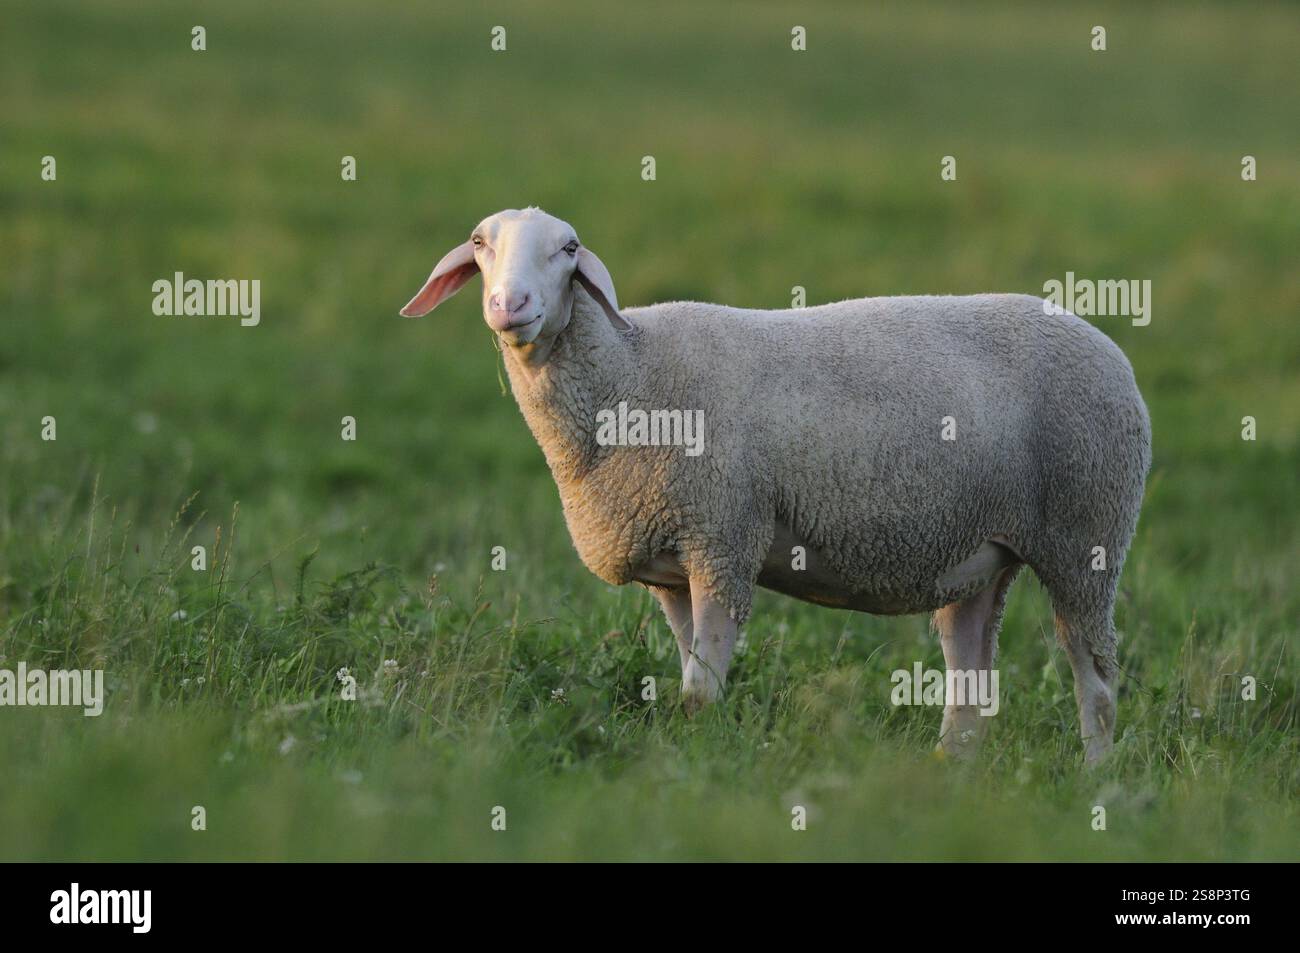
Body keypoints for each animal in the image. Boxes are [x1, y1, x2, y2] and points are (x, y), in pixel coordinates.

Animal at [400, 207, 1151, 763]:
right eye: (479, 244)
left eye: (569, 248)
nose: (512, 304)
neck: (628, 372)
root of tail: (1110, 349)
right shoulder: (675, 564)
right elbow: (690, 677)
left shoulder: (723, 539)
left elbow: (701, 690)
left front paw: (698, 763)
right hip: (979, 556)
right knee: (971, 683)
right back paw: (951, 772)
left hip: (1087, 532)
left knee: (1096, 675)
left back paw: (1095, 776)